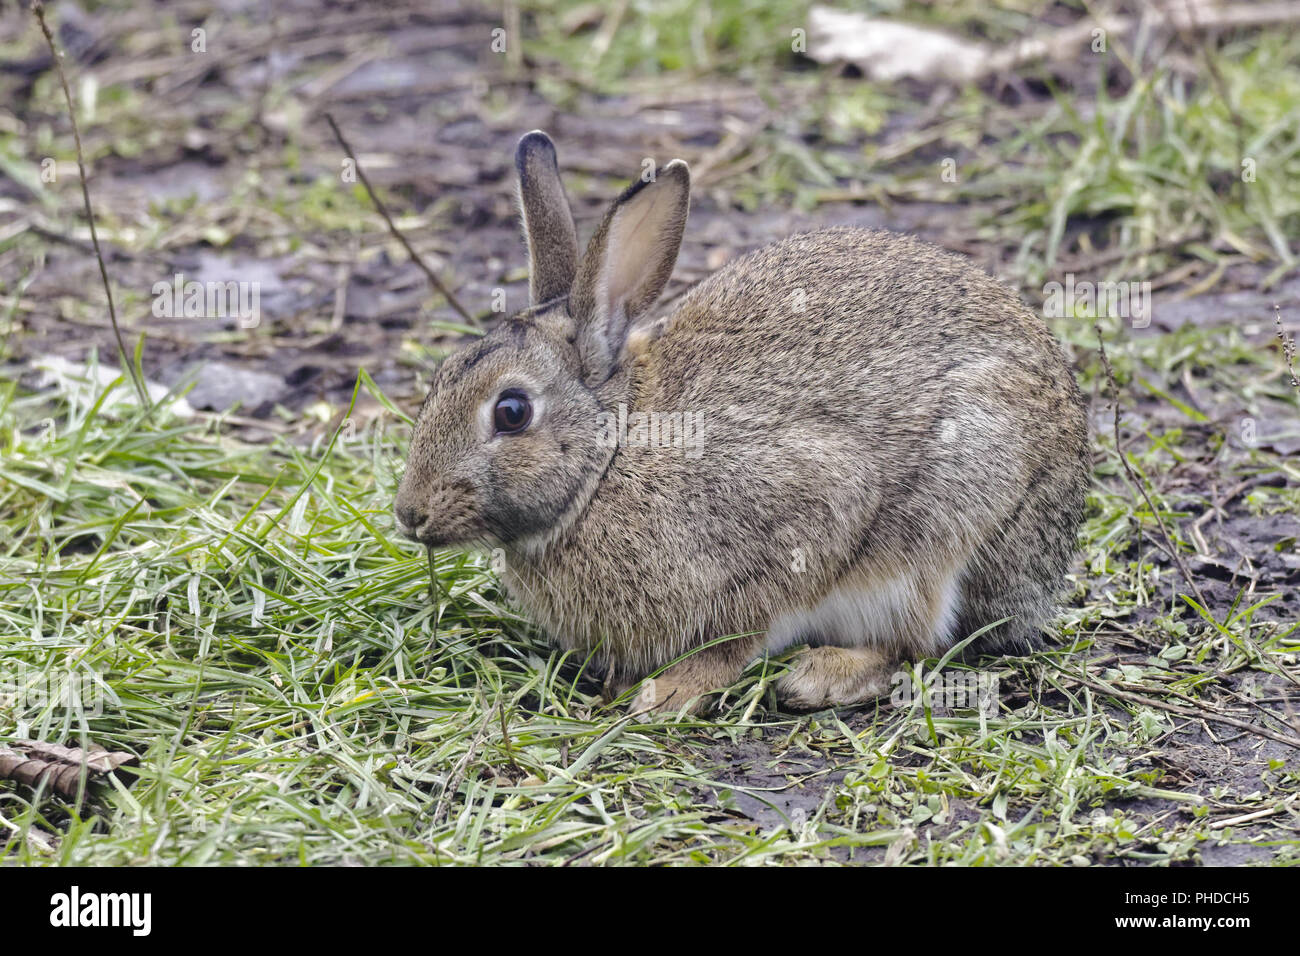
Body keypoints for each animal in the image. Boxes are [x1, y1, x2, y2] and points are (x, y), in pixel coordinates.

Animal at [394, 130, 1090, 715]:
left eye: (511, 411)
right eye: (441, 377)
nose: (410, 514)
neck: (610, 457)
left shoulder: (812, 503)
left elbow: (743, 630)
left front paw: (670, 692)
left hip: (950, 518)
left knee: (917, 641)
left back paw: (820, 677)